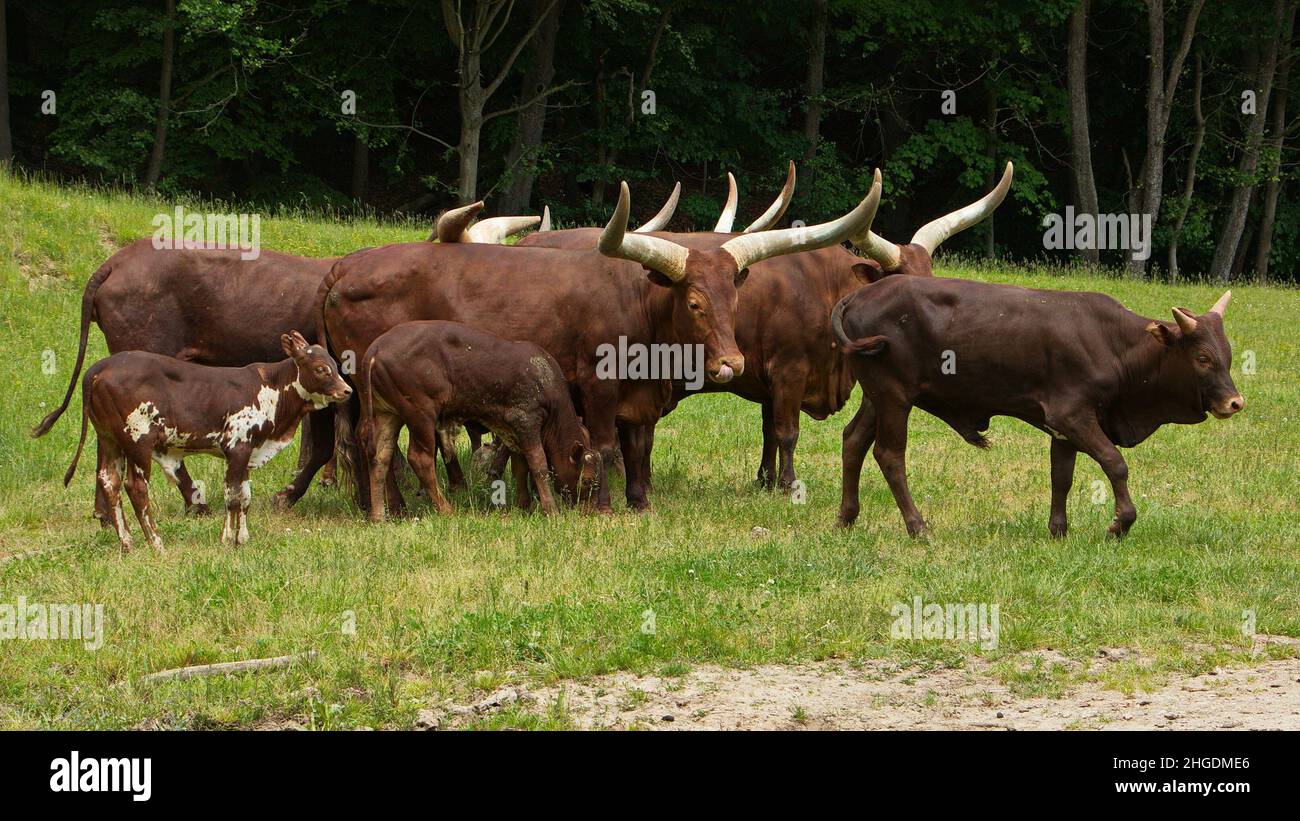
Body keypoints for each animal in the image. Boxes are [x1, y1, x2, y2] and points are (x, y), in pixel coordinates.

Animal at [63, 331, 352, 551]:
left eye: (335, 365)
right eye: (321, 369)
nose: (347, 390)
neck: (271, 389)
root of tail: (99, 368)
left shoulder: (247, 452)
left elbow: (244, 496)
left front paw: (242, 538)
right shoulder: (237, 447)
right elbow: (233, 496)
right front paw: (227, 539)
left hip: (109, 439)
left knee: (109, 481)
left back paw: (127, 543)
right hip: (137, 441)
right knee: (135, 487)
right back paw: (156, 543)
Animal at [359, 321, 600, 518]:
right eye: (587, 480)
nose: (588, 509)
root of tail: (376, 347)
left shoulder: (513, 430)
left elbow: (521, 465)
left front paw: (524, 505)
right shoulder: (526, 420)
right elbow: (538, 464)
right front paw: (551, 510)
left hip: (387, 414)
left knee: (380, 457)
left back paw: (379, 515)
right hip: (420, 414)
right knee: (420, 458)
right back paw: (446, 509)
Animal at [519, 163, 1015, 491]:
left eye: (933, 281)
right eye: (898, 286)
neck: (826, 285)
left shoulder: (769, 377)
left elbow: (768, 430)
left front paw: (765, 479)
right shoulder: (791, 369)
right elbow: (787, 432)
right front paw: (789, 485)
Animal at [830, 279, 1244, 538]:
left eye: (1227, 354)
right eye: (1203, 358)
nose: (1234, 402)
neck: (1114, 343)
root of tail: (860, 295)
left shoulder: (1064, 428)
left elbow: (1061, 476)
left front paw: (1058, 529)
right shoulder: (1072, 415)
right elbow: (1115, 463)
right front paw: (1120, 523)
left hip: (877, 397)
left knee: (853, 441)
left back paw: (846, 519)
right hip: (893, 397)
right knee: (889, 455)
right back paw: (917, 527)